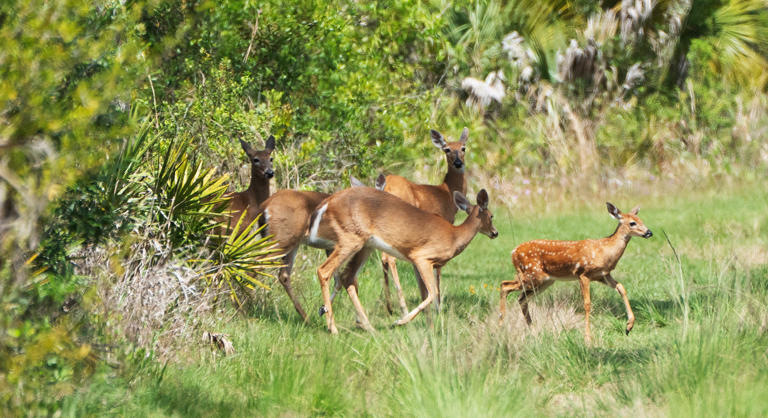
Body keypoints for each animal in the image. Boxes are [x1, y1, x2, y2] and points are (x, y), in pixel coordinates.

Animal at [307, 187, 498, 334]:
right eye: (491, 216)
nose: (495, 233)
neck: (454, 236)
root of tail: (328, 202)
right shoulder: (421, 256)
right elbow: (433, 293)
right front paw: (400, 321)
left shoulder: (417, 262)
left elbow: (425, 294)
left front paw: (430, 329)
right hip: (350, 238)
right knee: (324, 271)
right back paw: (333, 328)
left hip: (364, 245)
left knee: (347, 278)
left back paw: (367, 327)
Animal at [379, 127, 469, 316]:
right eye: (447, 149)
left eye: (463, 148)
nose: (458, 163)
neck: (446, 193)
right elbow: (438, 268)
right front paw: (437, 305)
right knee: (389, 258)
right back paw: (403, 307)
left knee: (383, 257)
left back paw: (390, 307)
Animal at [499, 202, 653, 343]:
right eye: (632, 223)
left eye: (642, 220)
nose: (649, 232)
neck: (605, 250)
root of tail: (513, 252)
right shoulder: (583, 274)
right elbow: (587, 304)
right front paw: (587, 338)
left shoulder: (603, 275)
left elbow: (621, 288)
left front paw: (629, 326)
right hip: (533, 275)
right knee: (504, 285)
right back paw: (501, 325)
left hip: (544, 281)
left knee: (521, 298)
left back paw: (532, 329)